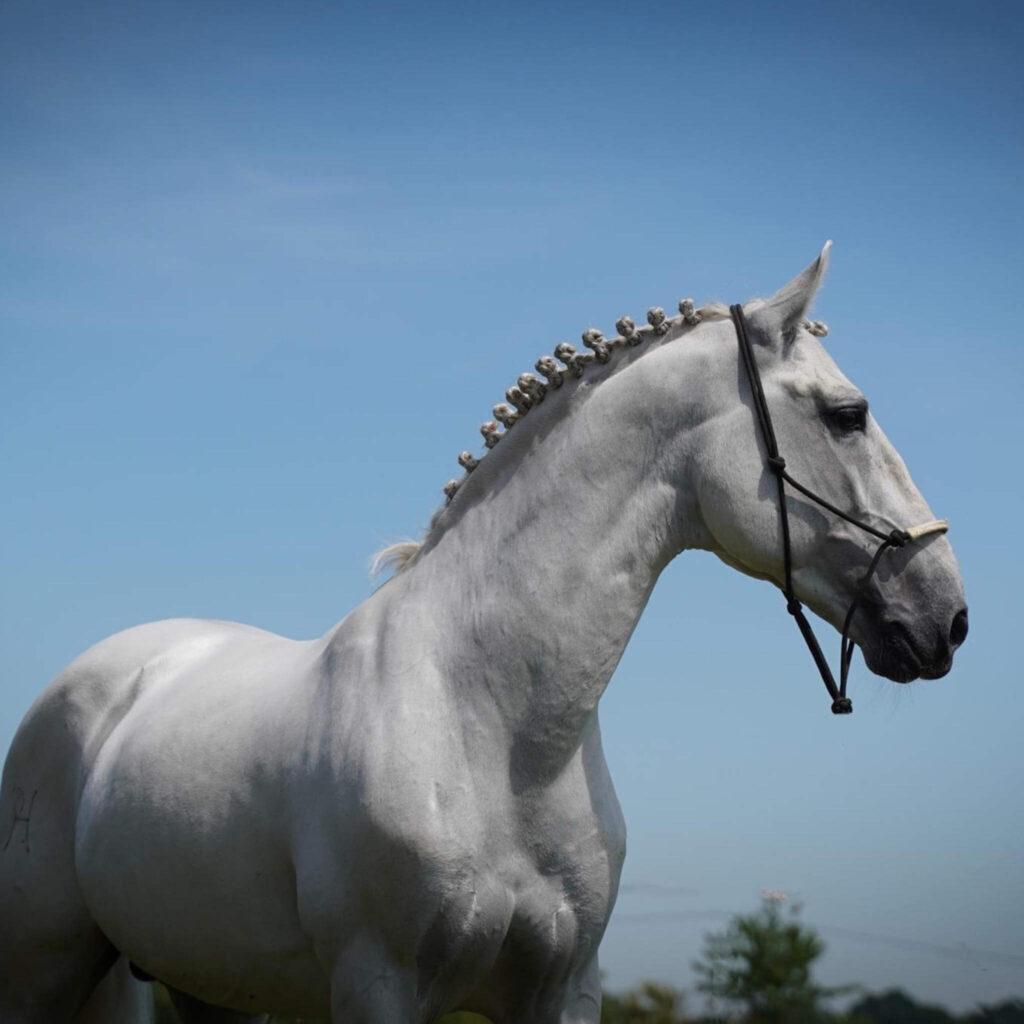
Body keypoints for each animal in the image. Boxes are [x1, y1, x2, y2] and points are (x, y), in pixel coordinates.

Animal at [0, 244, 967, 1023]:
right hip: (49, 972)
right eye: (847, 413)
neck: (497, 729)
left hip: (215, 990)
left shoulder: (562, 990)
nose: (948, 617)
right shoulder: (380, 987)